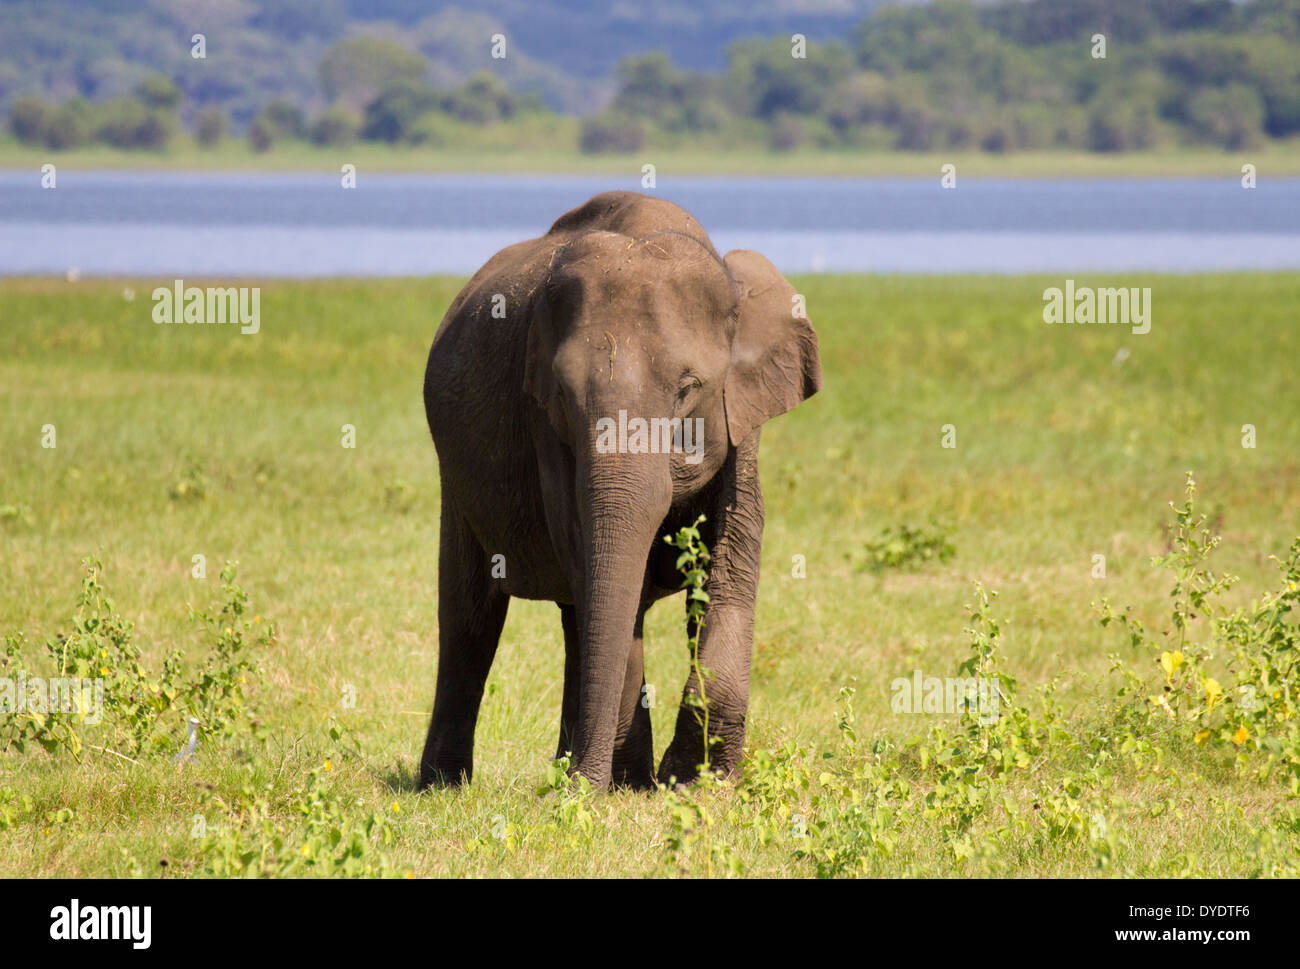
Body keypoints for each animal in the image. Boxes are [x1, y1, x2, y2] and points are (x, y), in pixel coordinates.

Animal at [418, 190, 821, 792]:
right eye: (564, 395)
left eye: (687, 390)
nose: (579, 786)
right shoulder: (545, 425)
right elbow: (589, 560)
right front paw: (629, 786)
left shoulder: (742, 419)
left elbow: (733, 556)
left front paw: (698, 781)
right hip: (456, 480)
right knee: (471, 618)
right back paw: (446, 785)